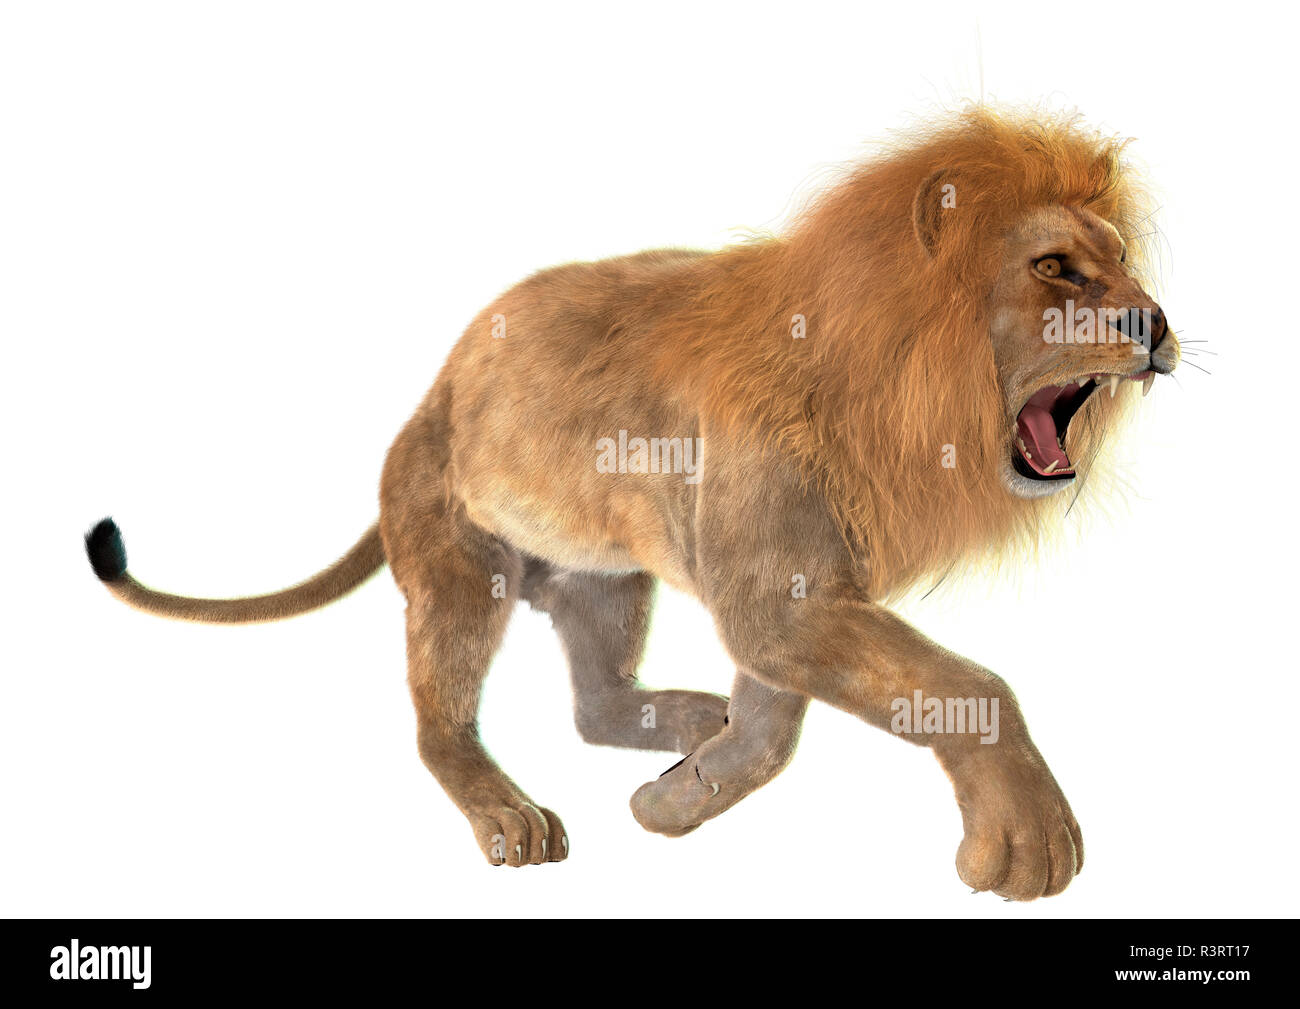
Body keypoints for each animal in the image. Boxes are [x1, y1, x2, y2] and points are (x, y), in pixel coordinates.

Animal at [85, 106, 1179, 900]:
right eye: (1055, 268)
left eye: (1124, 260)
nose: (1158, 326)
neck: (891, 380)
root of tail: (431, 395)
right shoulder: (776, 600)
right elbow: (972, 688)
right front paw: (1029, 839)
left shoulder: (792, 594)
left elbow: (773, 731)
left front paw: (676, 803)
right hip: (460, 563)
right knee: (439, 720)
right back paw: (509, 814)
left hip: (603, 581)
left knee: (597, 702)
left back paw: (686, 719)